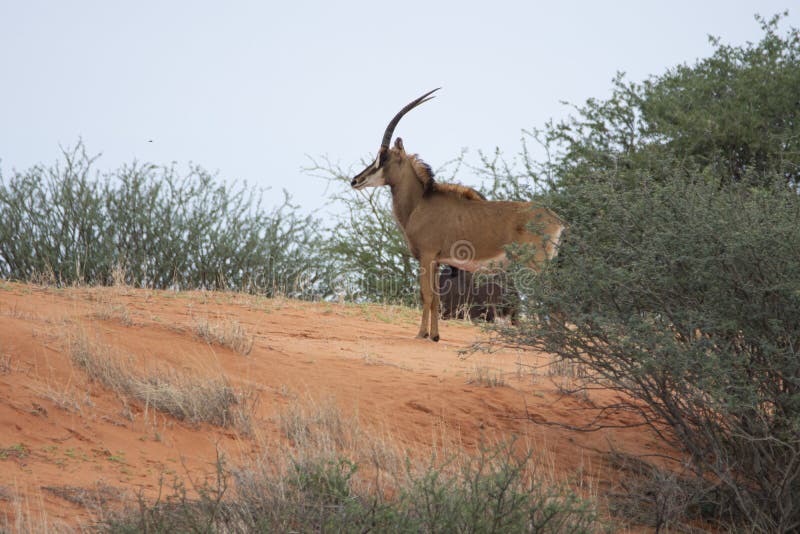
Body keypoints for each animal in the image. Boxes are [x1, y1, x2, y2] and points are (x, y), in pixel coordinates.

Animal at [351, 89, 564, 341]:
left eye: (383, 158)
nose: (356, 180)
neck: (420, 202)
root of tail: (555, 218)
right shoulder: (437, 260)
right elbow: (435, 298)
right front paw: (434, 336)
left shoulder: (427, 256)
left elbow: (426, 295)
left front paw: (421, 334)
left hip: (537, 264)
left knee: (550, 297)